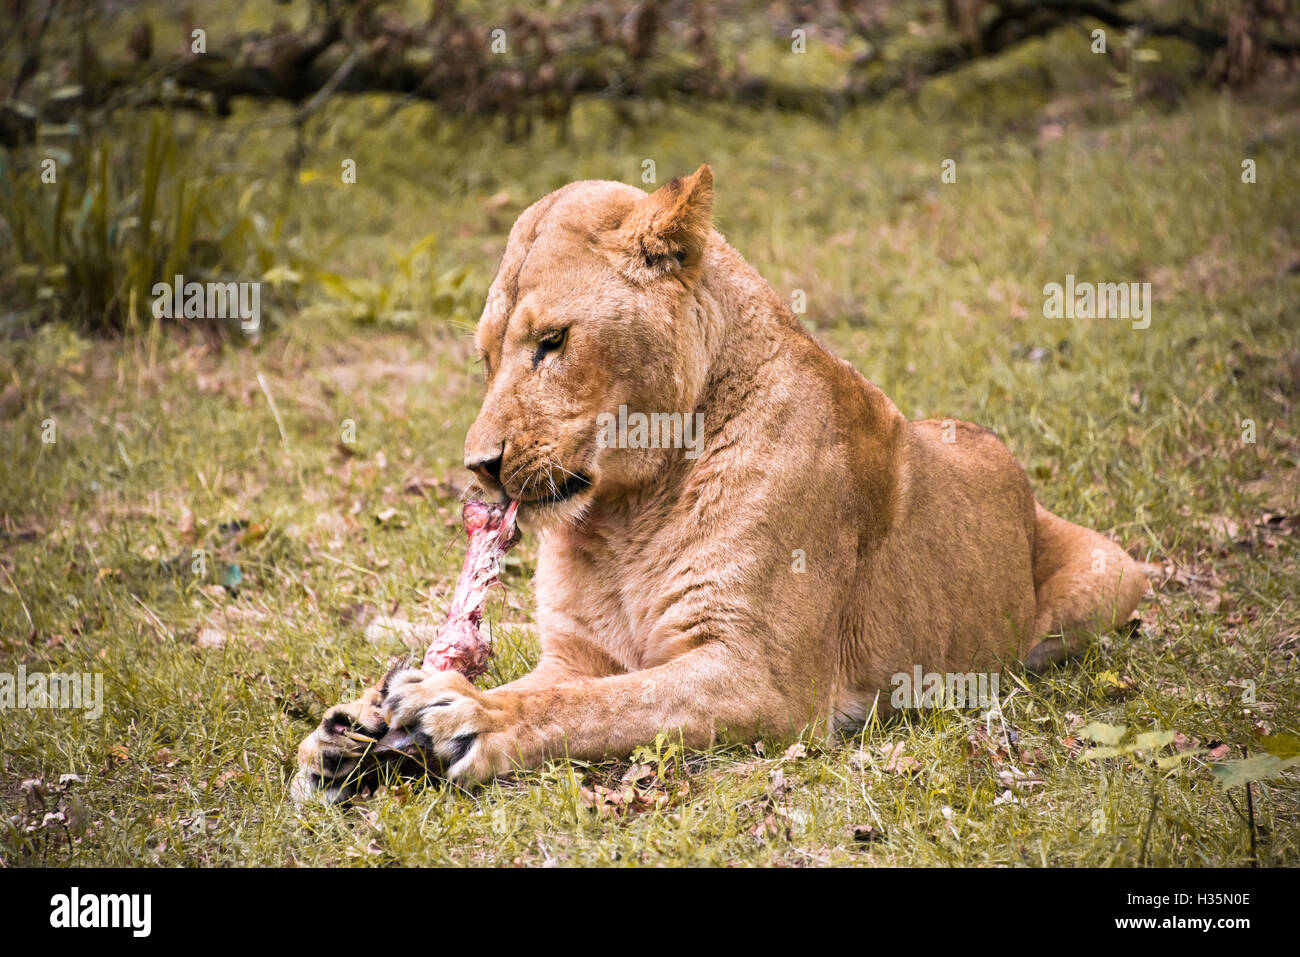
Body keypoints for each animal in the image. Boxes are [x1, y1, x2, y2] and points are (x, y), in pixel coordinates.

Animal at [292, 165, 1147, 802]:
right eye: (484, 355)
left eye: (553, 341)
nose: (480, 465)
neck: (625, 513)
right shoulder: (576, 650)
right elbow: (572, 688)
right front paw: (349, 732)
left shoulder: (761, 678)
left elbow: (599, 704)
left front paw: (461, 713)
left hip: (1114, 575)